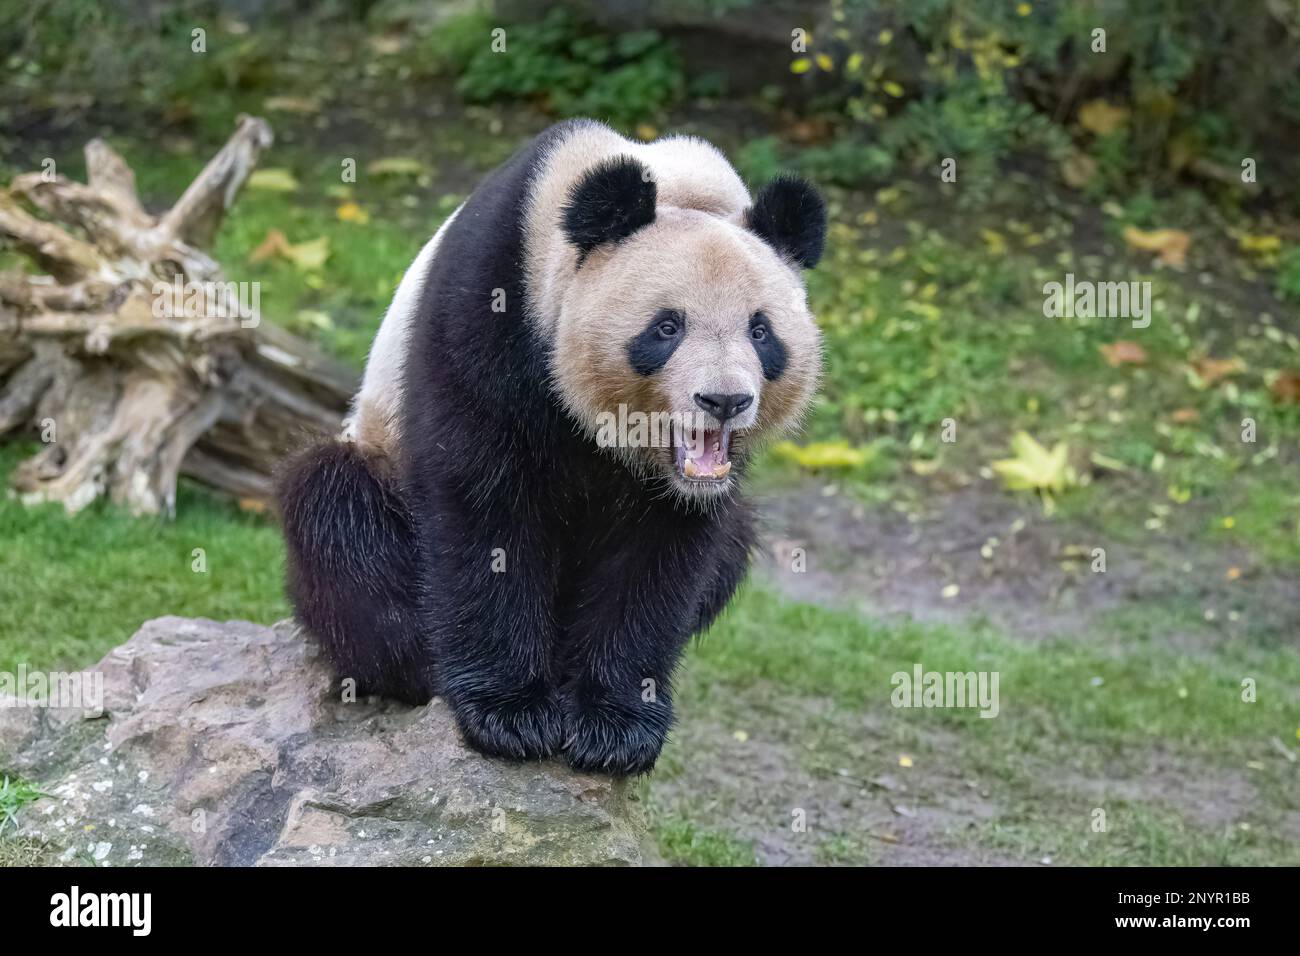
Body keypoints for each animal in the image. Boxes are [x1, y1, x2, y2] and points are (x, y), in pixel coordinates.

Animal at [279, 118, 826, 775]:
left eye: (760, 330)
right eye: (667, 327)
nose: (723, 400)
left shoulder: (685, 488)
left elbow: (660, 551)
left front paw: (615, 725)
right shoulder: (488, 309)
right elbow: (481, 502)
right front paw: (511, 714)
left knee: (737, 534)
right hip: (375, 456)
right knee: (335, 511)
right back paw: (416, 665)